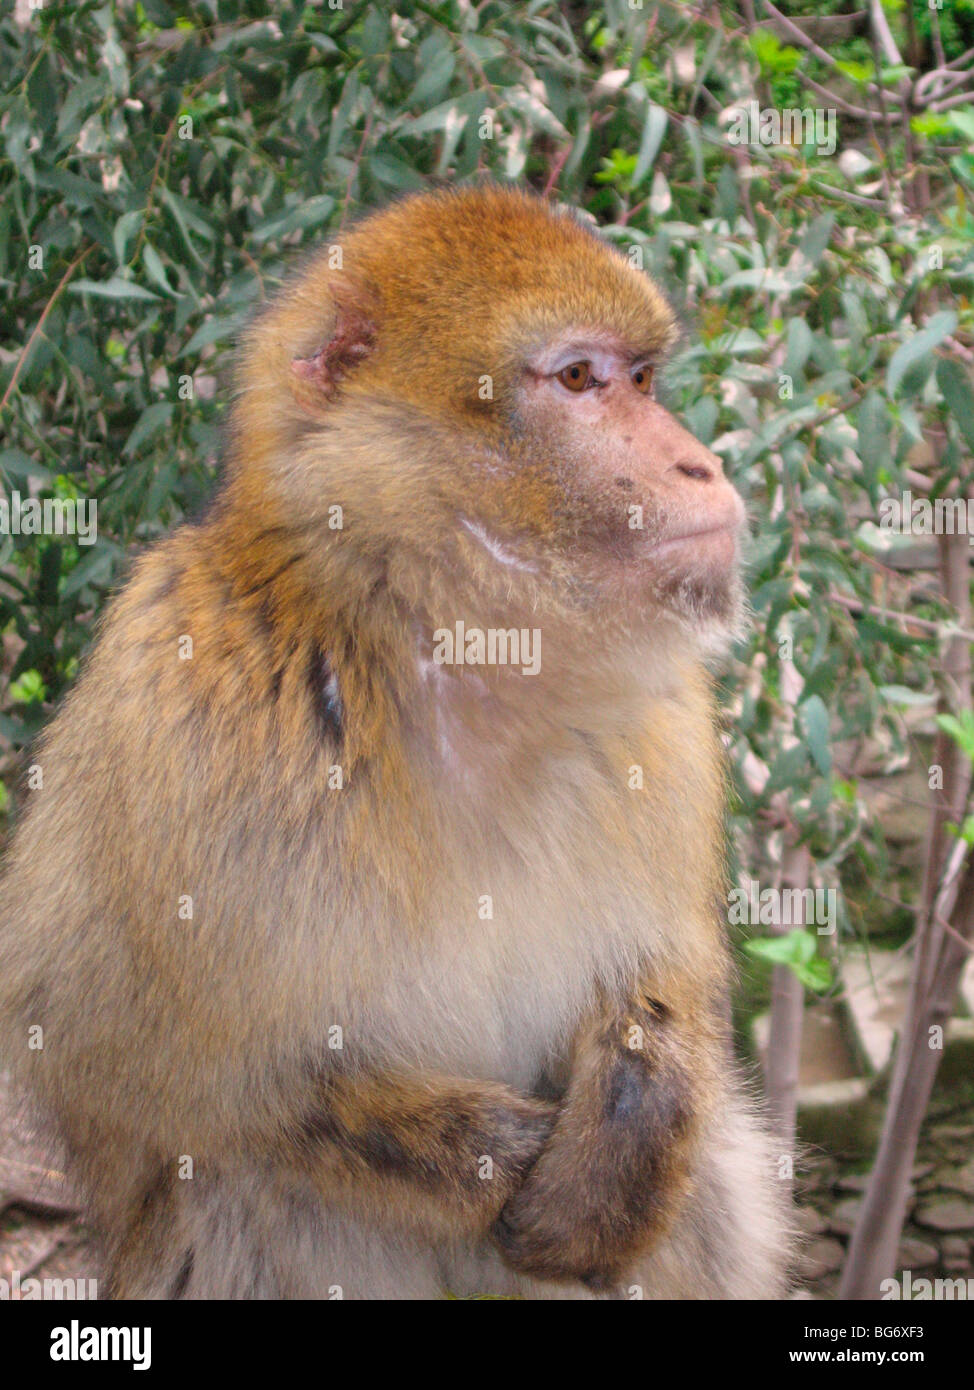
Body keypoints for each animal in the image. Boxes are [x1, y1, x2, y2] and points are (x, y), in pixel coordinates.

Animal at [0, 185, 791, 1300]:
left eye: (641, 379)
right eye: (579, 380)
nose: (700, 462)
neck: (462, 658)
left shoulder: (666, 716)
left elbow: (671, 976)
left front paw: (635, 1117)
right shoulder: (181, 703)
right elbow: (99, 1049)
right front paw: (474, 1150)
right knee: (237, 1192)